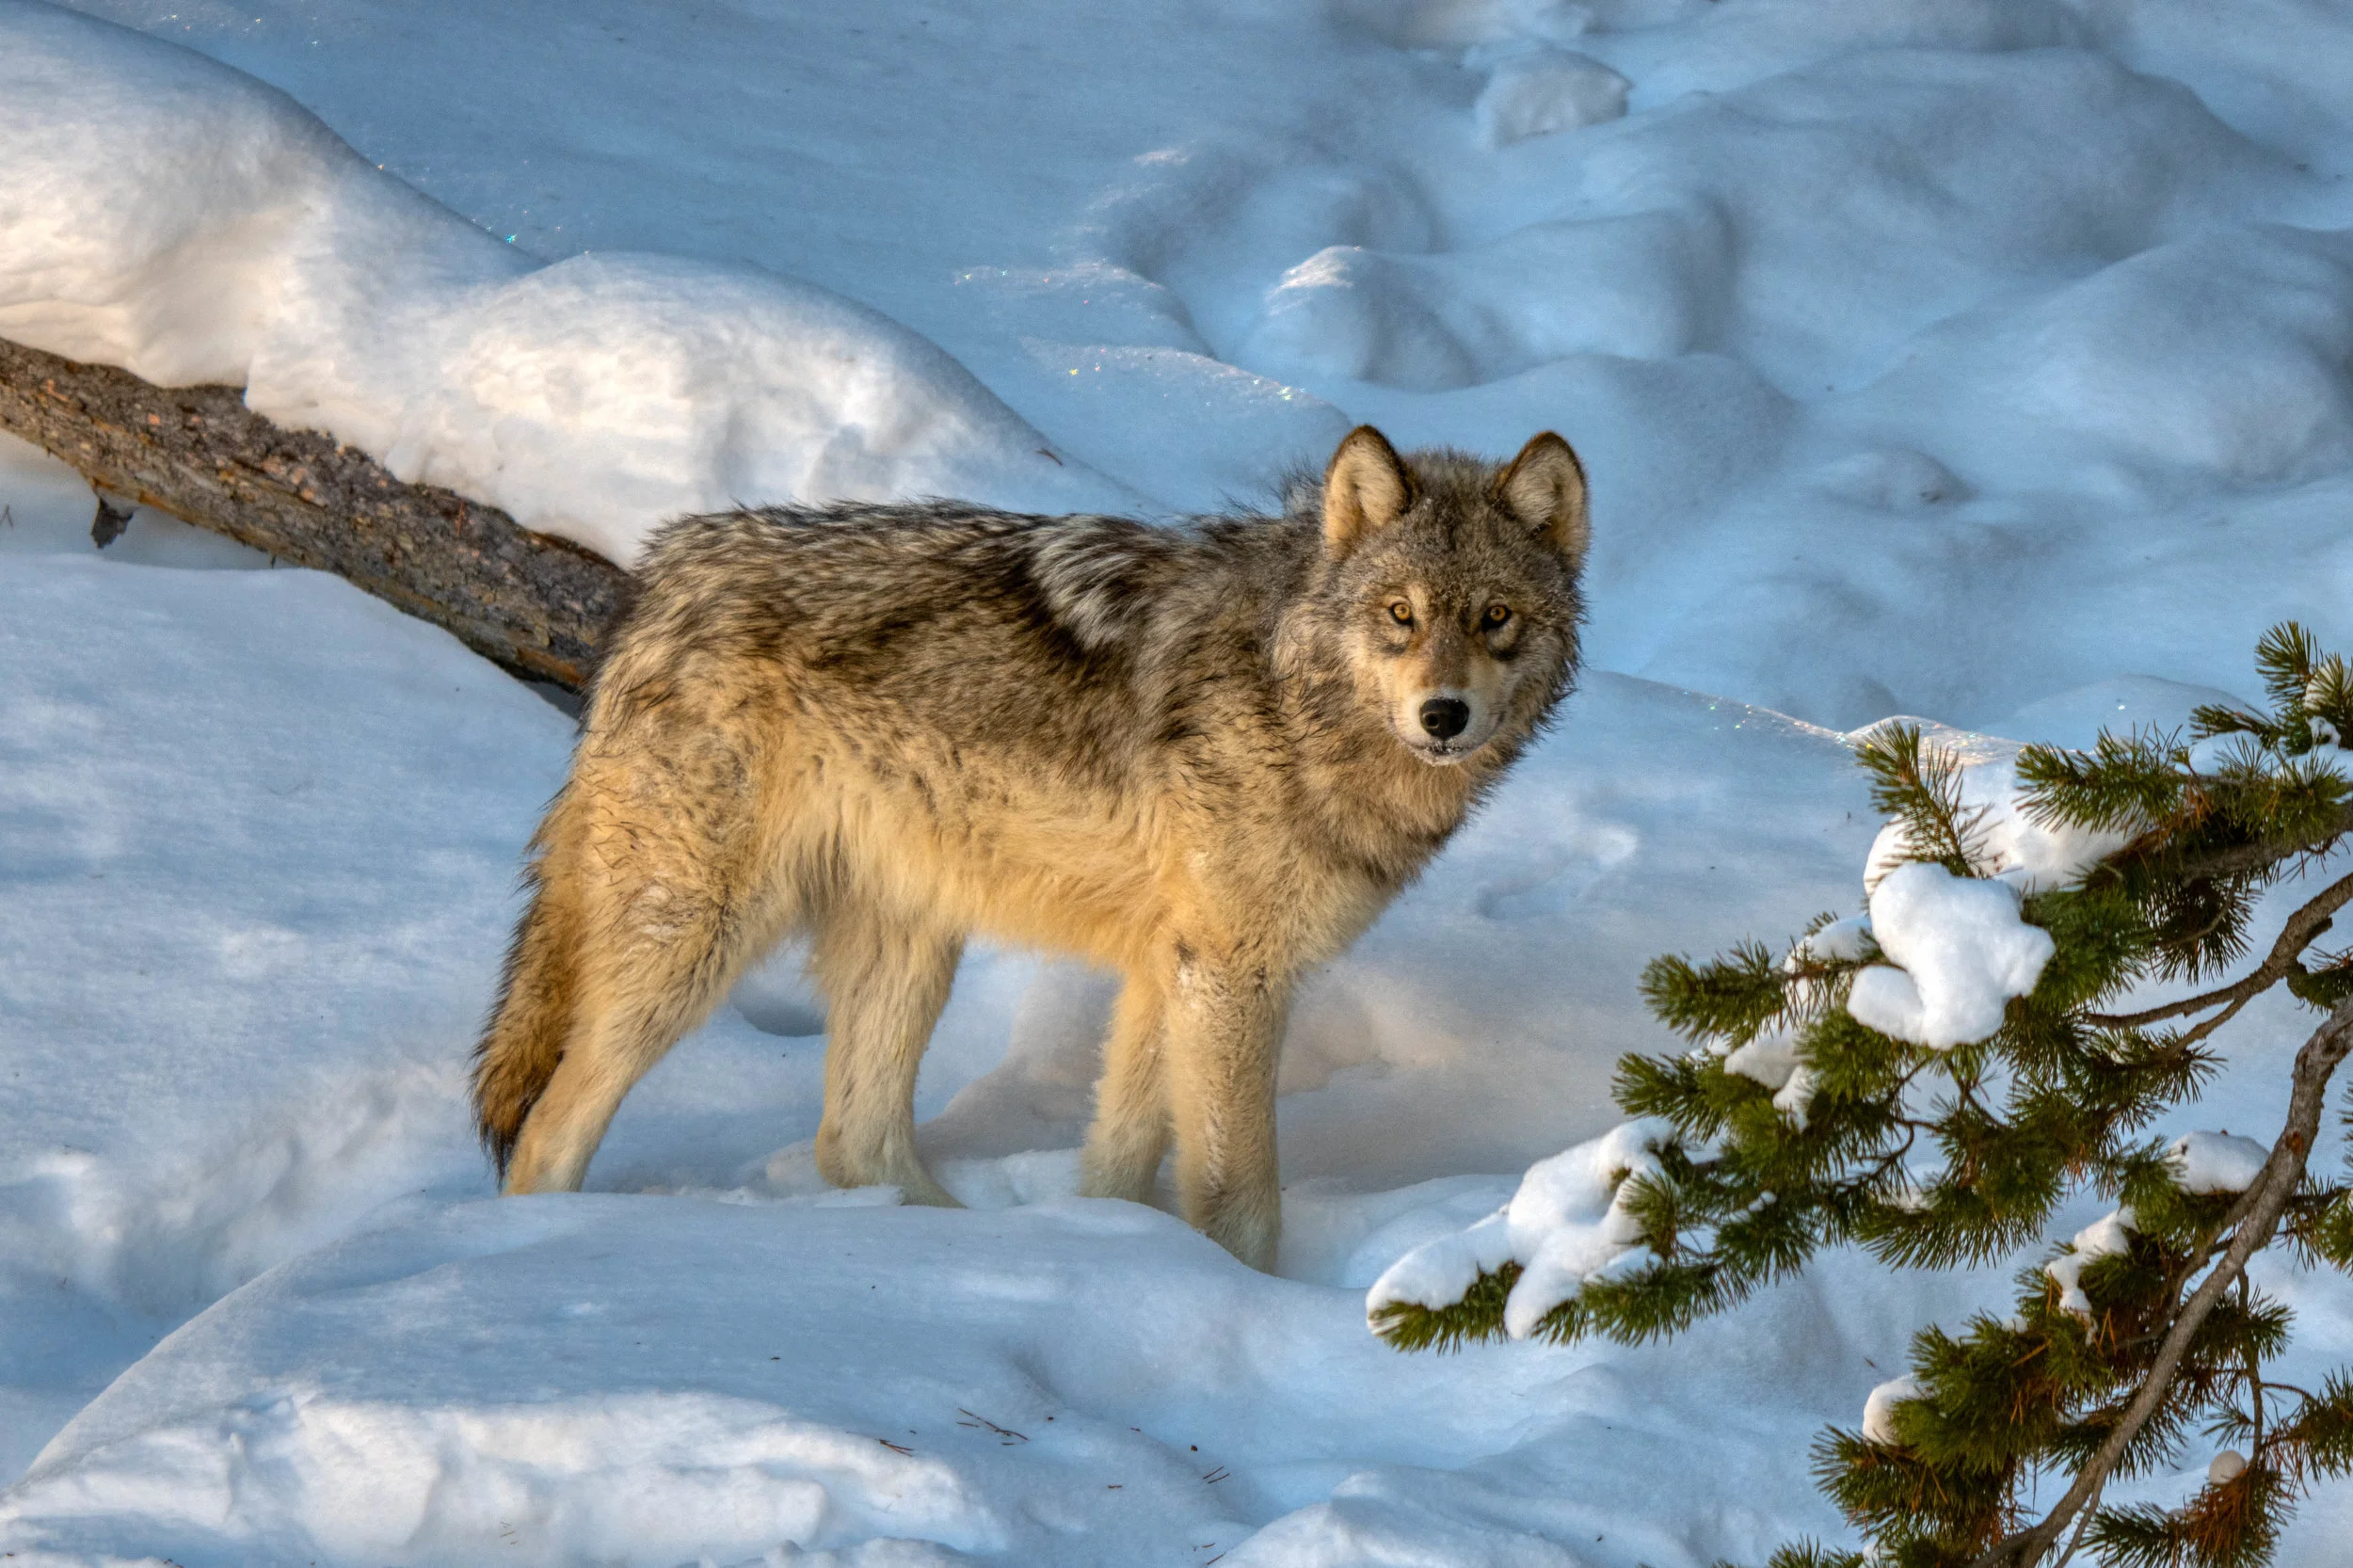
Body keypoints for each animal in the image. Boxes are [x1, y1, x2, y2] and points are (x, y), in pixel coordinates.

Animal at [472, 425, 1589, 1269]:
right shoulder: (1229, 974)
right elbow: (1238, 1193)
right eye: (1400, 615)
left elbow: (1124, 1157)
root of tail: (664, 574)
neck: (1292, 697)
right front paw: (1241, 1292)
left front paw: (1102, 1252)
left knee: (853, 1145)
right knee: (549, 1129)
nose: (1443, 715)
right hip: (693, 946)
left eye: (1495, 617)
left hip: (912, 950)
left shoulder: (1172, 970)